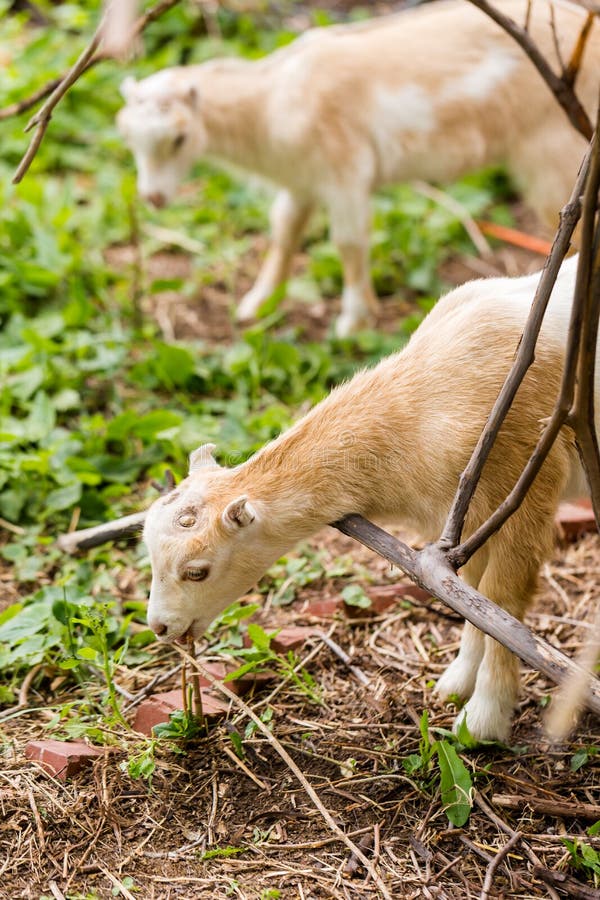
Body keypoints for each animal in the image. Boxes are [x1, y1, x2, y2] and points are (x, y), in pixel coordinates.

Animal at [117, 0, 597, 336]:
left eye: (178, 139)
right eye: (129, 140)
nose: (153, 198)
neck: (272, 102)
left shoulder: (344, 173)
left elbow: (347, 242)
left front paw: (353, 322)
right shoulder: (302, 180)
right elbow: (284, 229)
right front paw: (258, 303)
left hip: (555, 151)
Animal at [143, 255, 594, 742]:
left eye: (197, 571)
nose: (160, 626)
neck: (419, 408)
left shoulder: (525, 491)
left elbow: (503, 601)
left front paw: (482, 721)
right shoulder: (467, 518)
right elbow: (475, 596)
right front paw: (455, 684)